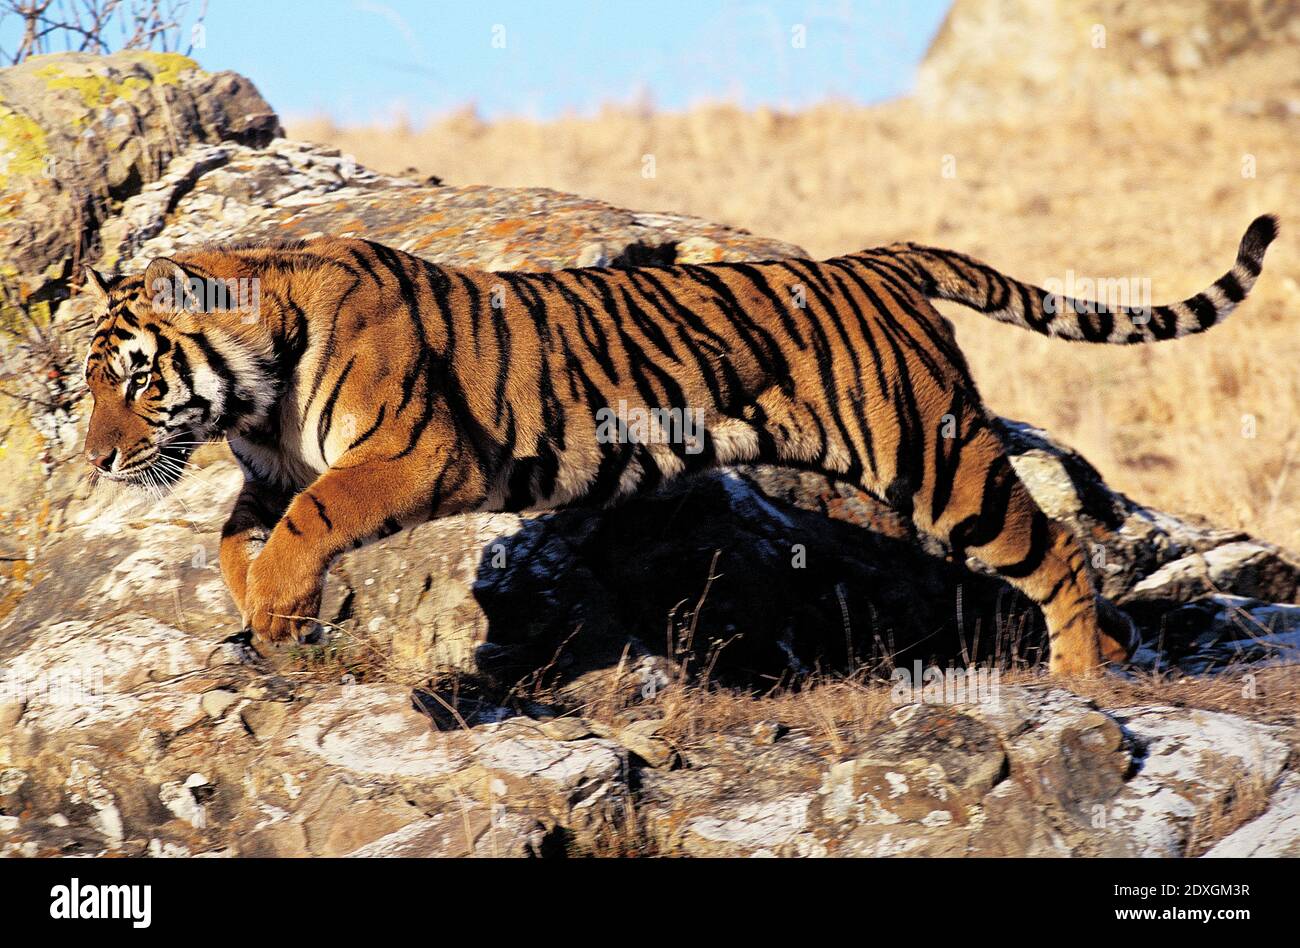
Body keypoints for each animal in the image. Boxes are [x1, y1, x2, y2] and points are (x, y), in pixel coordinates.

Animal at [80, 214, 1278, 676]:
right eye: (89, 385)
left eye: (130, 378)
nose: (94, 459)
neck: (259, 393)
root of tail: (877, 261)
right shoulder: (267, 475)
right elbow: (234, 540)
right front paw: (259, 615)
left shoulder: (416, 452)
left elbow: (308, 524)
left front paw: (278, 612)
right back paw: (1112, 654)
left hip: (936, 462)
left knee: (1058, 549)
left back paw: (1082, 672)